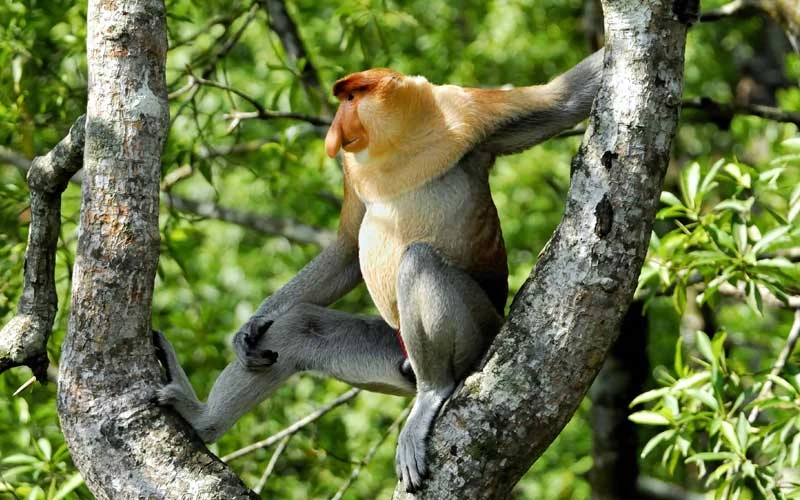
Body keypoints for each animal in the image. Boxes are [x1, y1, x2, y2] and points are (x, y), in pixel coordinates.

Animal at [155, 48, 604, 492]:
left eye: (351, 97)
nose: (334, 132)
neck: (397, 142)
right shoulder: (353, 169)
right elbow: (346, 249)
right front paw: (249, 327)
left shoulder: (467, 109)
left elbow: (566, 99)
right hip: (391, 351)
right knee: (299, 327)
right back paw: (202, 420)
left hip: (483, 325)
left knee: (419, 262)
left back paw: (432, 393)